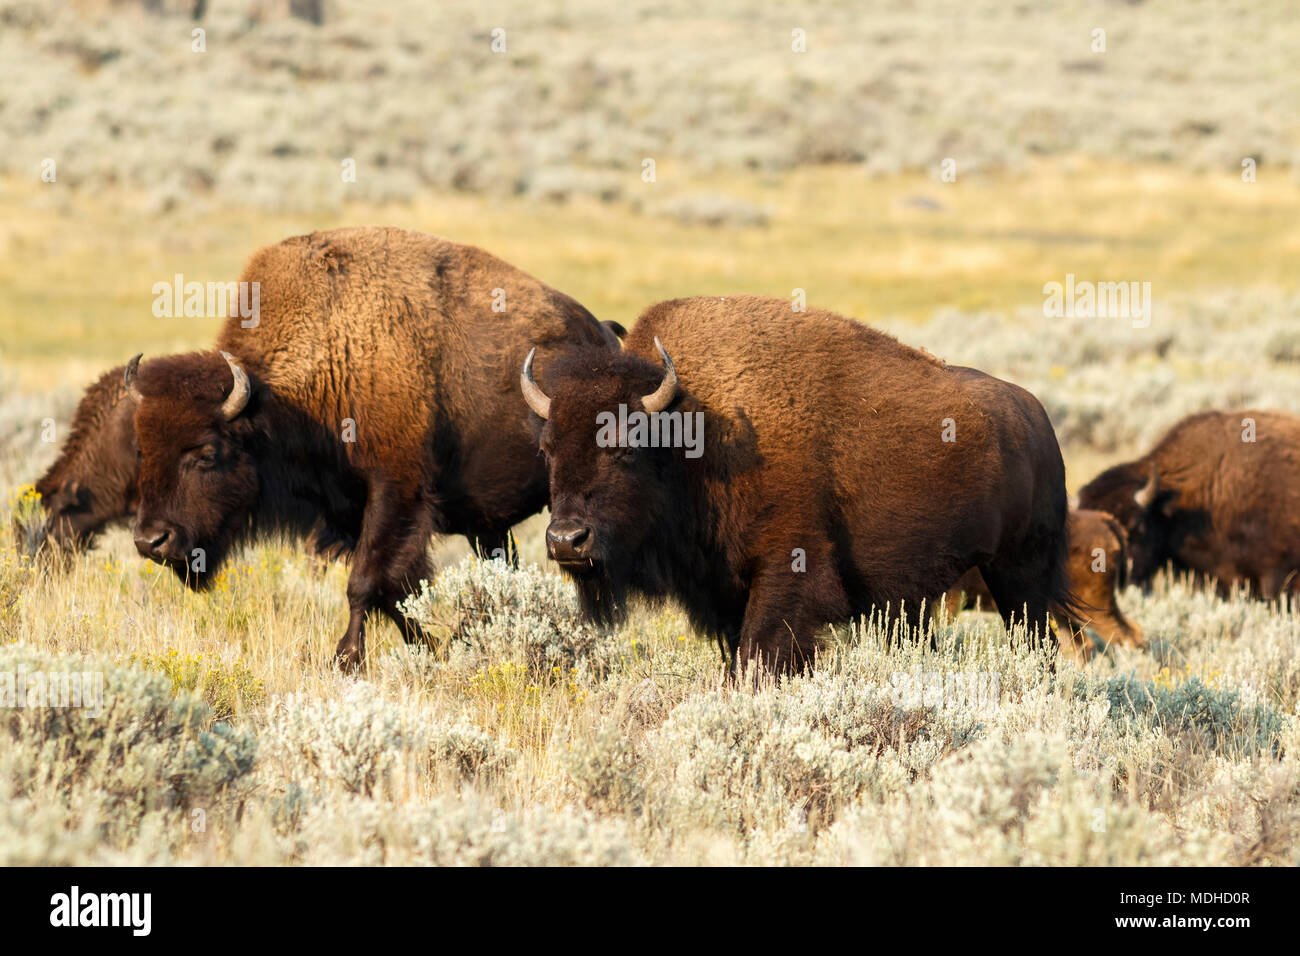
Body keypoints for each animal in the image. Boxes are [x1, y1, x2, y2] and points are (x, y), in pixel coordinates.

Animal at [125, 226, 622, 669]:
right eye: (143, 451)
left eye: (207, 454)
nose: (150, 541)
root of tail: (605, 335)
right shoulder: (350, 509)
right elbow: (396, 593)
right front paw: (435, 647)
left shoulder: (395, 492)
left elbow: (365, 582)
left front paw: (347, 659)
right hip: (487, 529)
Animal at [521, 295, 1076, 674]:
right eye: (547, 449)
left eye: (627, 447)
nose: (567, 541)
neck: (695, 431)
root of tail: (1037, 420)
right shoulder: (725, 593)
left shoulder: (787, 572)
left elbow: (762, 652)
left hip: (1018, 575)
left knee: (1037, 639)